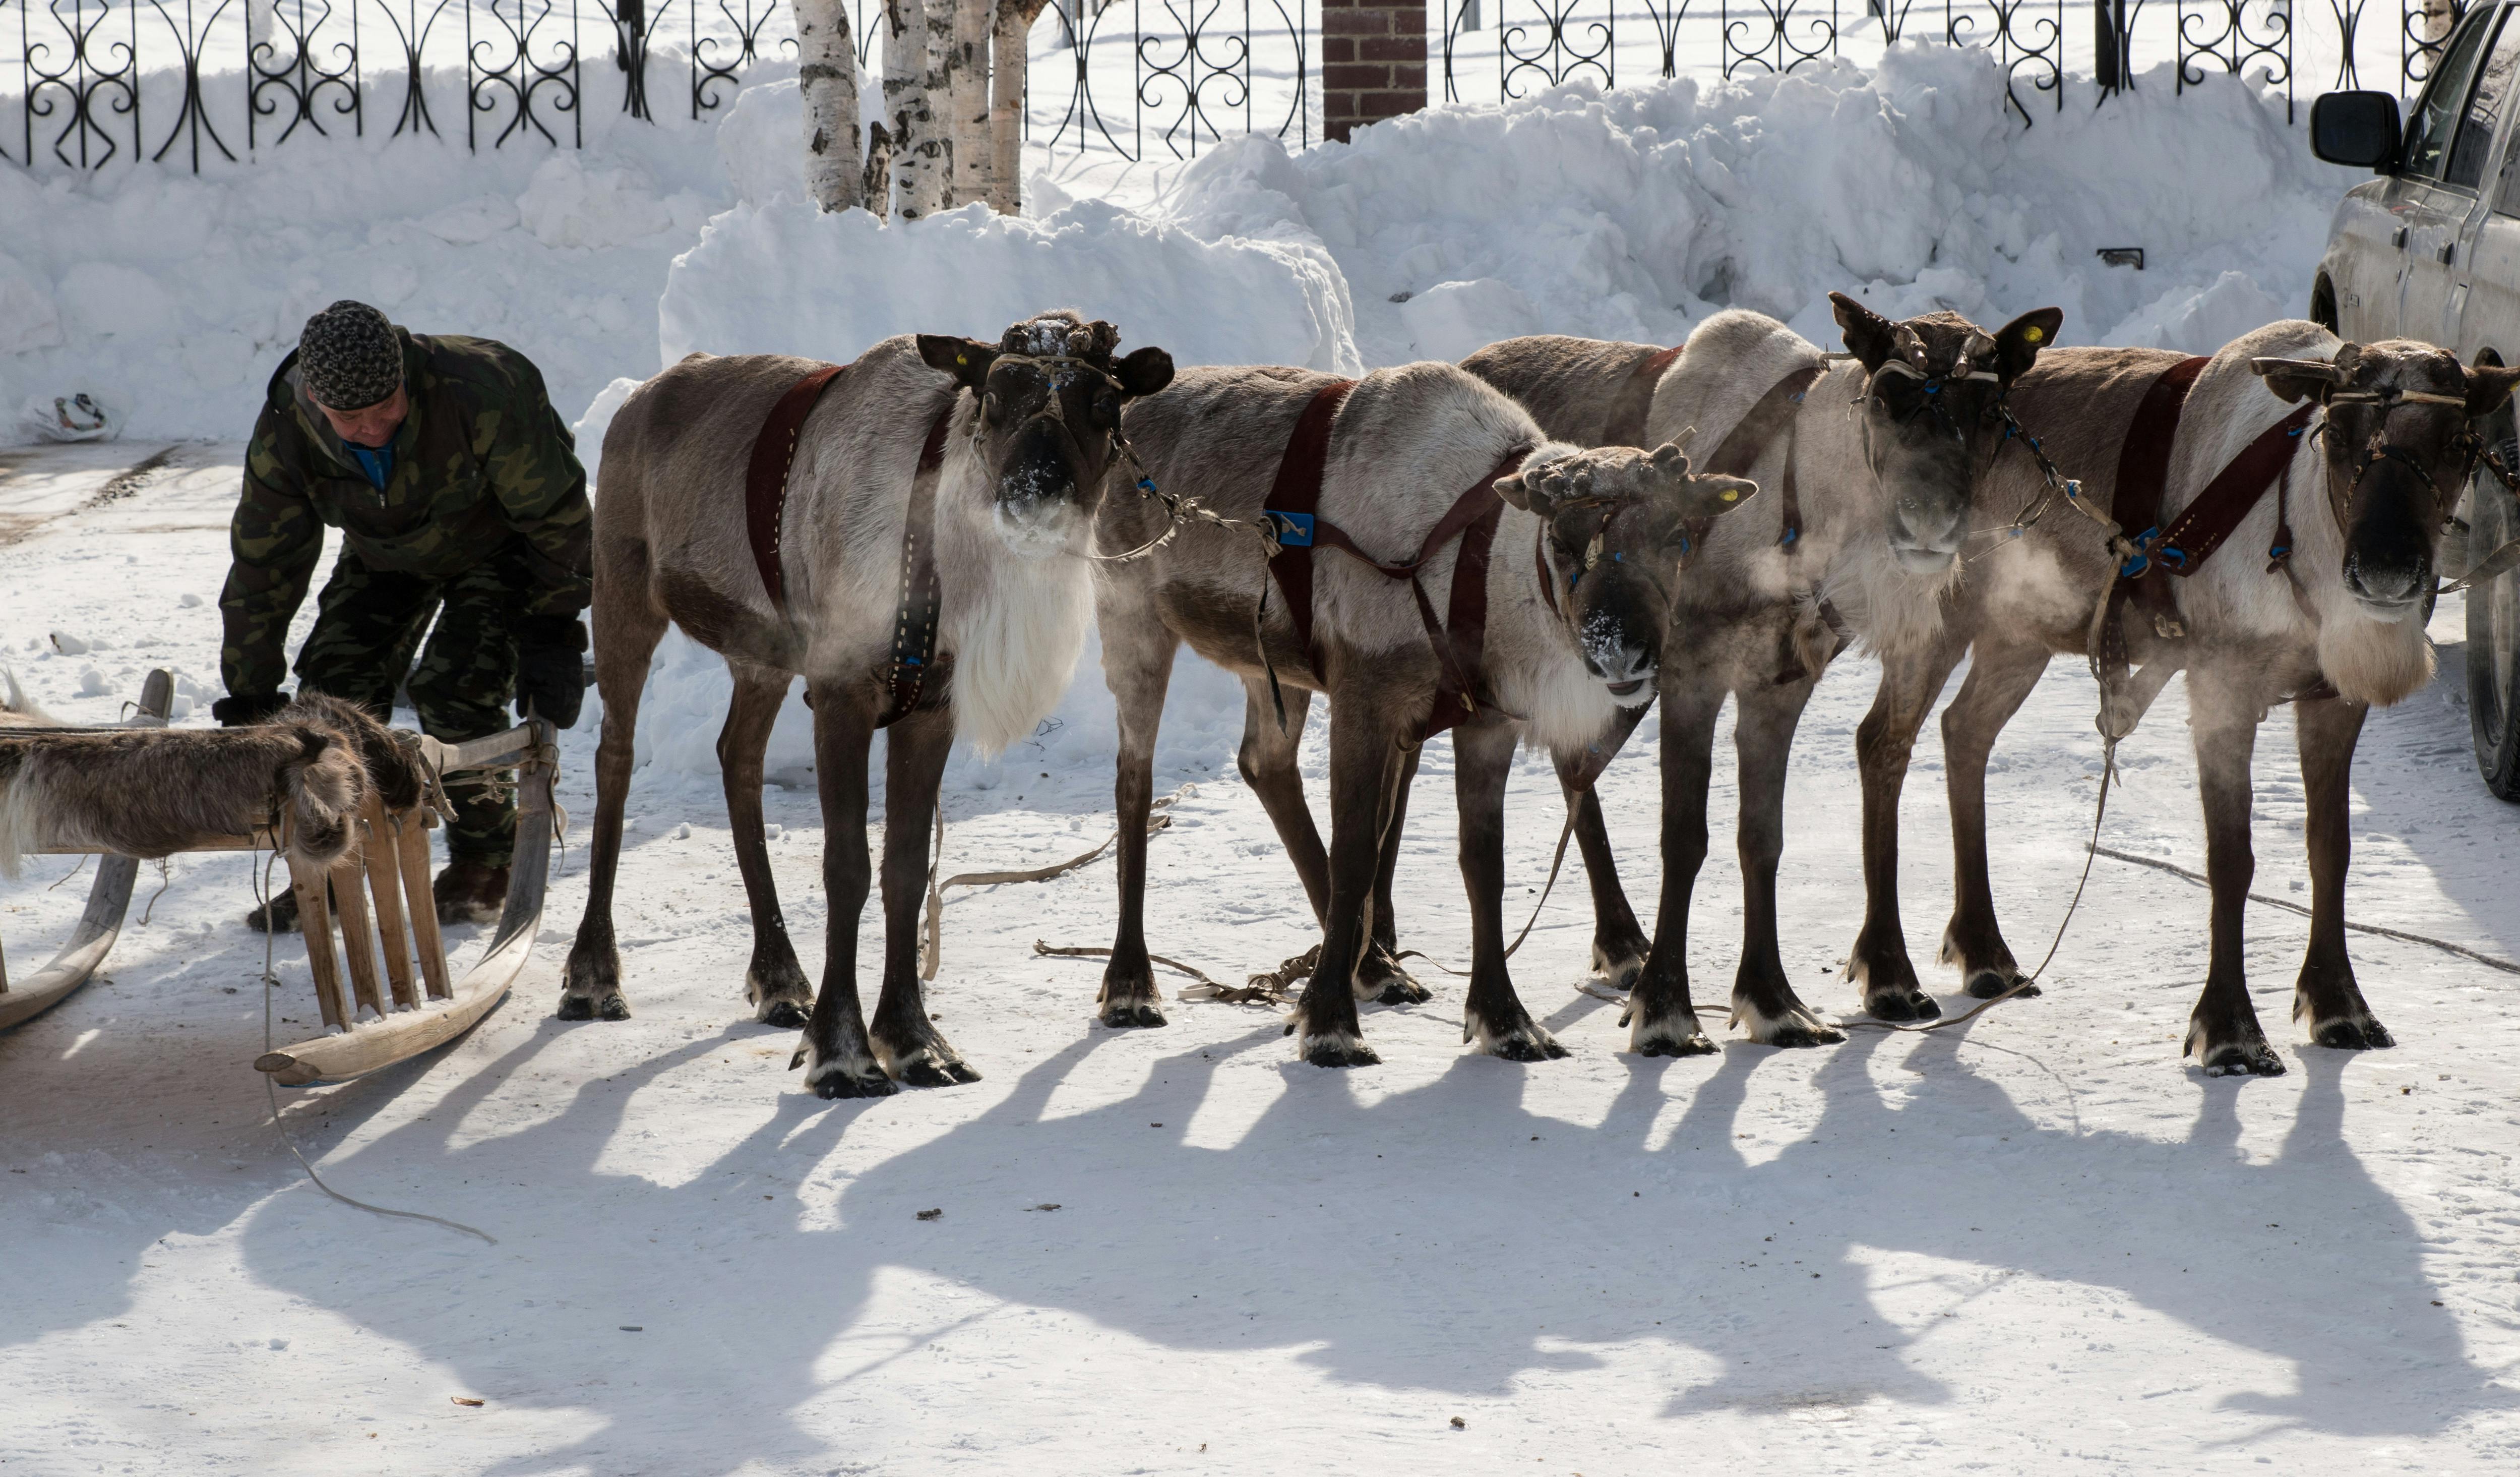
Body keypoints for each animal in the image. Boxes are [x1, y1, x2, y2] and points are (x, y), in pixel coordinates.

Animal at [564, 311, 1174, 1098]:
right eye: (994, 395)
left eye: (1103, 403)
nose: (1033, 493)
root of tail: (641, 397)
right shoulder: (841, 688)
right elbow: (847, 866)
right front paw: (843, 1053)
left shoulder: (930, 704)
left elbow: (907, 871)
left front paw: (916, 1043)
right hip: (621, 591)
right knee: (614, 756)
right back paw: (593, 976)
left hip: (760, 654)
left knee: (737, 757)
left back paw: (780, 979)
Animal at [1090, 361, 1757, 1066]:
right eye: (1561, 541)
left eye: (1678, 537)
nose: (1620, 650)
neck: (1476, 566)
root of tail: (1124, 422)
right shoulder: (1363, 694)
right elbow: (1356, 852)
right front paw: (1330, 1024)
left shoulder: (1485, 721)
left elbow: (1481, 862)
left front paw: (1504, 1019)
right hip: (1132, 619)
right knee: (1134, 783)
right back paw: (1131, 985)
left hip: (1268, 663)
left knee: (1264, 764)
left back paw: (1377, 965)